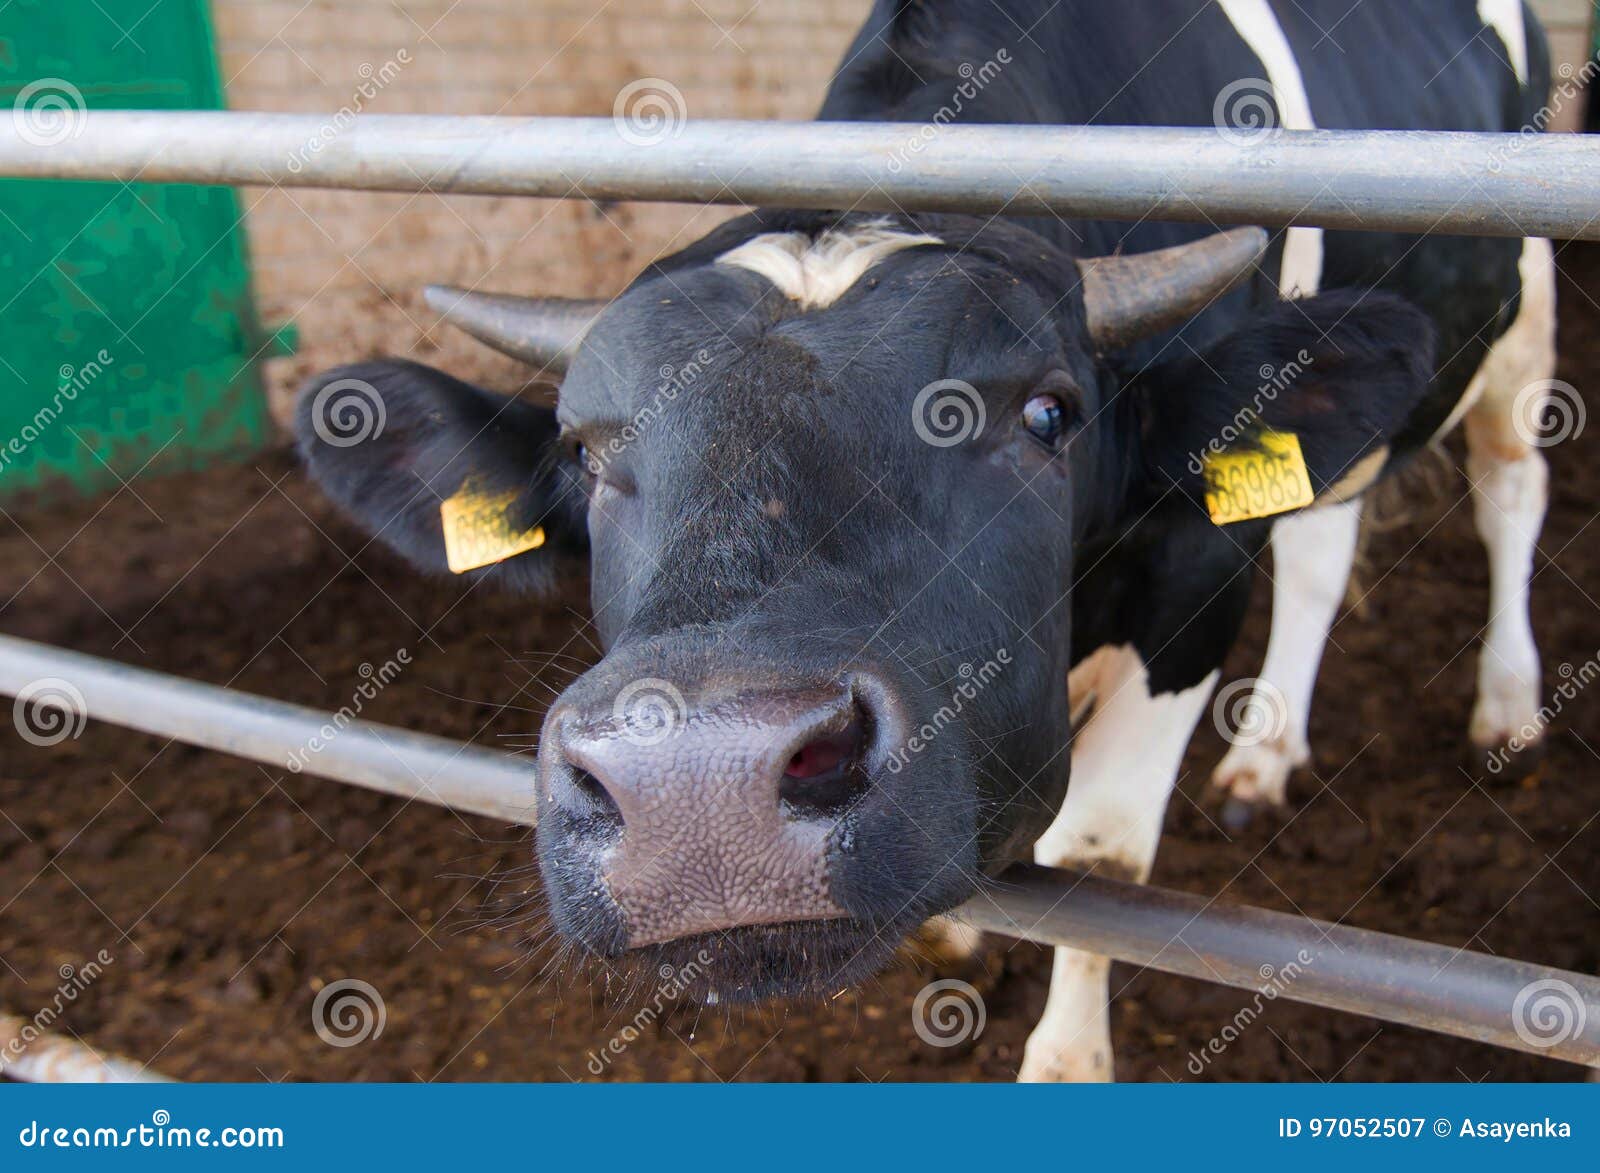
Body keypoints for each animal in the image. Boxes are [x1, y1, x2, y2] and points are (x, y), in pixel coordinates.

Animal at [294, 0, 1554, 1080]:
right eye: (588, 452)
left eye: (1046, 412)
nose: (698, 791)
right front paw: (953, 940)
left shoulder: (1190, 584)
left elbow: (1099, 860)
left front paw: (1067, 1064)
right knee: (1324, 545)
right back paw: (1265, 752)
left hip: (1523, 306)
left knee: (1507, 486)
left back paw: (1504, 705)